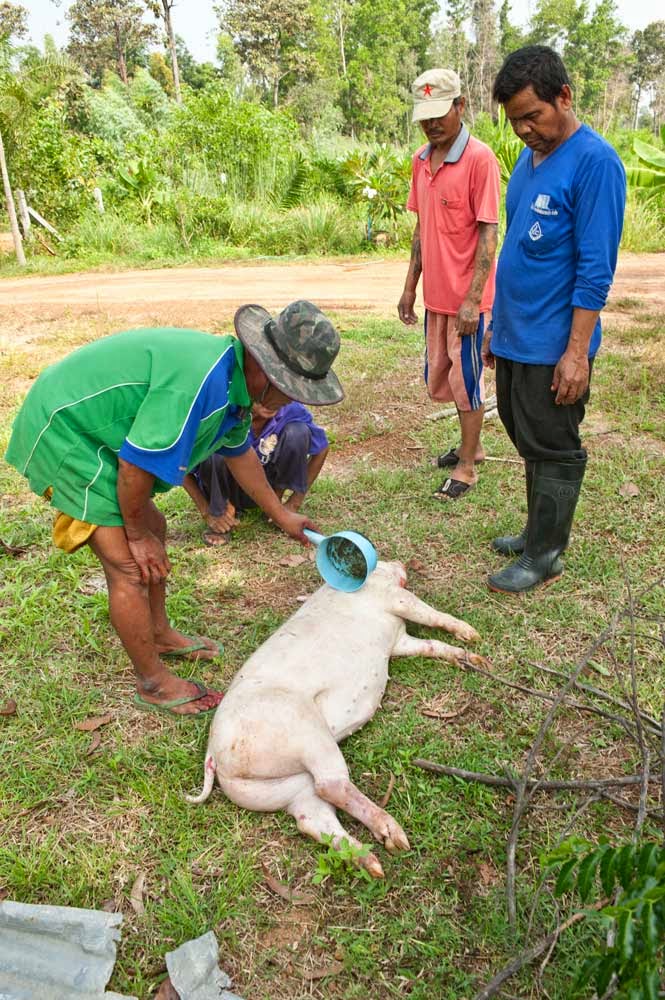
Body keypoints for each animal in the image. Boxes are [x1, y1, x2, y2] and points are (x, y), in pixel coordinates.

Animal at [186, 560, 485, 877]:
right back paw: (396, 837)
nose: (401, 563)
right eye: (382, 561)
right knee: (330, 785)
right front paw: (473, 634)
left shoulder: (398, 642)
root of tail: (212, 752)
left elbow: (429, 645)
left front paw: (475, 660)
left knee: (313, 819)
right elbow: (428, 613)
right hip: (304, 730)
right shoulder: (393, 597)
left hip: (277, 787)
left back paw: (375, 862)